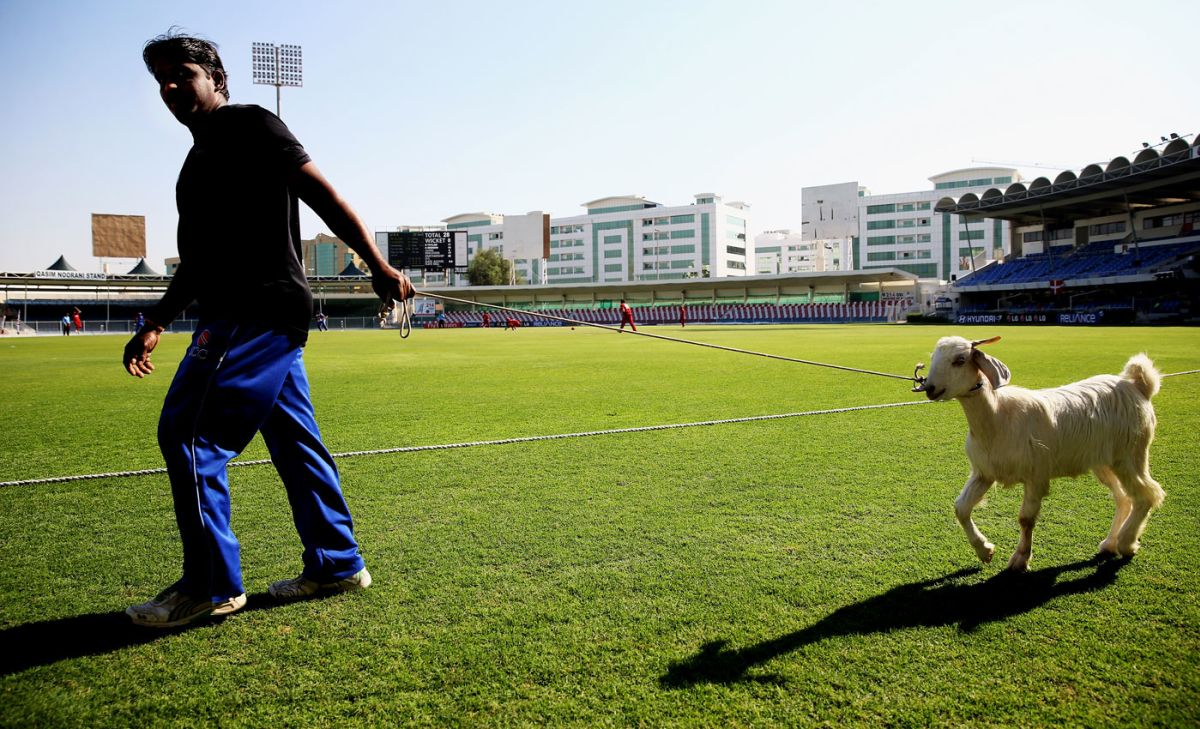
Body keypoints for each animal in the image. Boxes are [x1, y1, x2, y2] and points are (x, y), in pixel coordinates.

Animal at [915, 336, 1164, 571]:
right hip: (1104, 462)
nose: (929, 388)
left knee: (1147, 494)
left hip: (1130, 454)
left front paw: (1020, 559)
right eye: (933, 357)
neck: (997, 417)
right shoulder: (983, 473)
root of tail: (1136, 385)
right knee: (1124, 498)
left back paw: (1126, 543)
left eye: (960, 360)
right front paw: (985, 551)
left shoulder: (1036, 475)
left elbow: (1025, 519)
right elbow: (961, 508)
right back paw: (1110, 543)